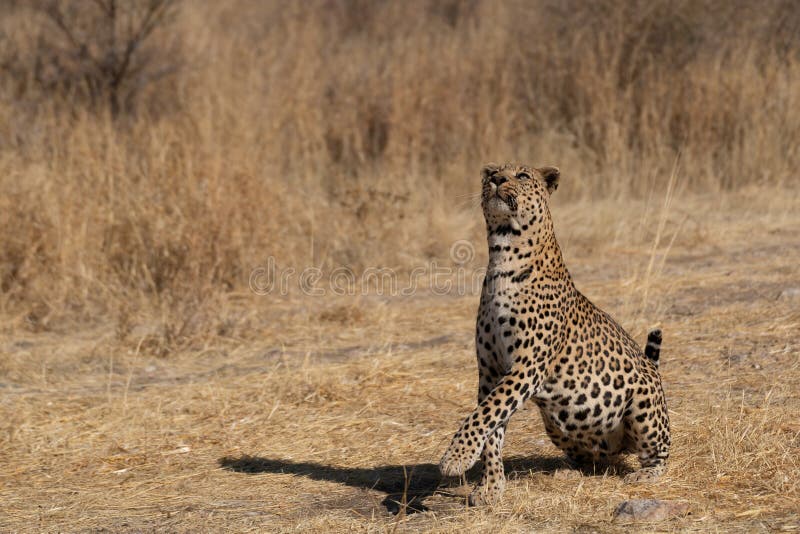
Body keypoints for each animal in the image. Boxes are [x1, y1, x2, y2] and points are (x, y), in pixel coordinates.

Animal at [439, 162, 670, 505]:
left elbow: (485, 413)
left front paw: (455, 458)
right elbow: (491, 423)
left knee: (661, 452)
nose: (496, 179)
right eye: (492, 172)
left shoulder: (527, 366)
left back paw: (645, 473)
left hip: (644, 408)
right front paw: (491, 486)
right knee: (597, 456)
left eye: (521, 176)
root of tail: (652, 369)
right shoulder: (491, 371)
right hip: (557, 426)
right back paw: (568, 471)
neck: (503, 252)